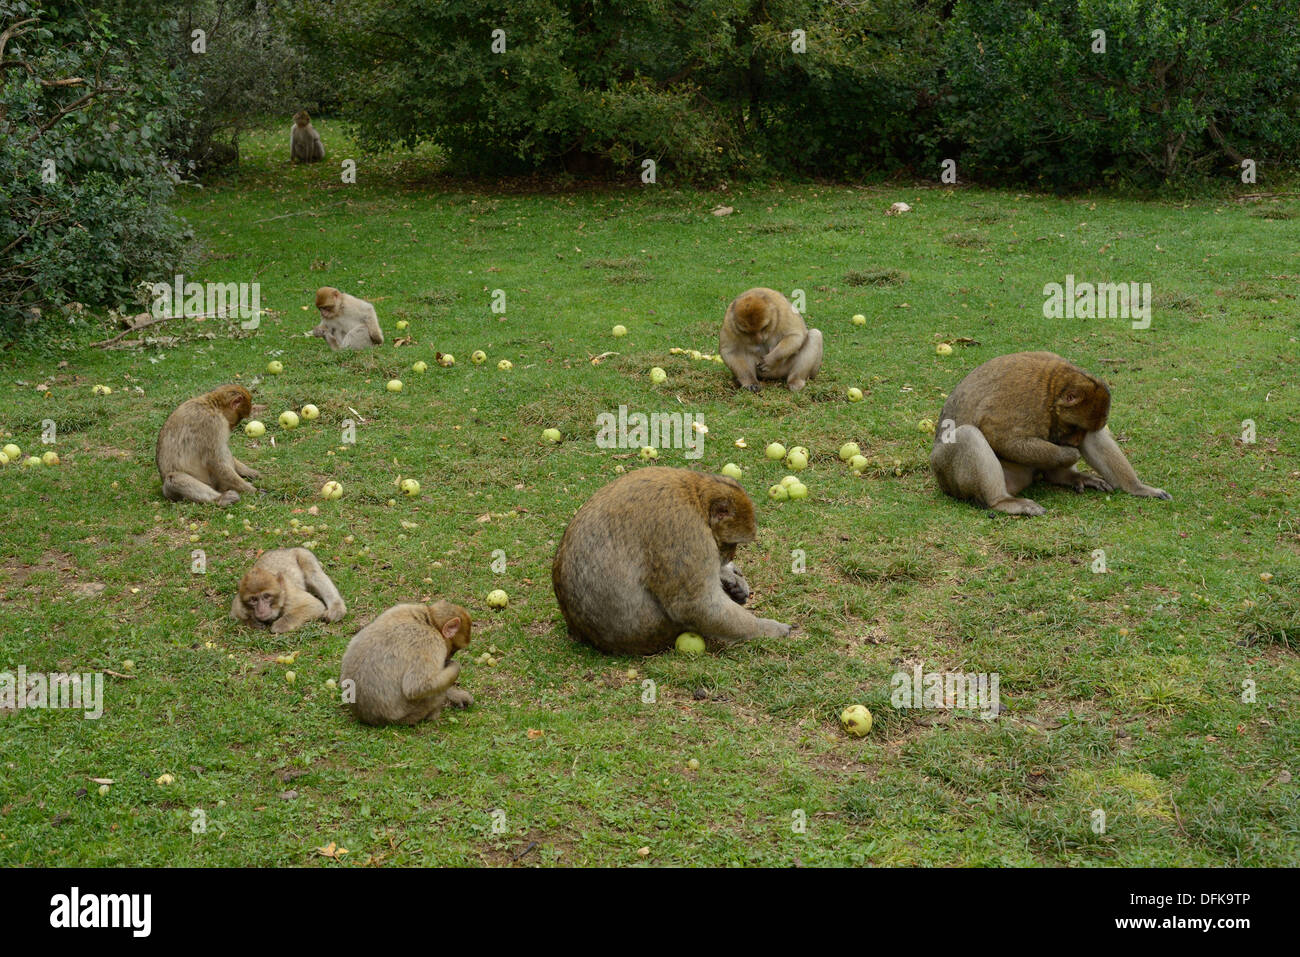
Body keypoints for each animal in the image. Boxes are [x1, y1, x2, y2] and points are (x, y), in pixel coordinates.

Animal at [340, 601, 473, 726]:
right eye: (454, 650)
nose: (448, 657)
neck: (430, 622)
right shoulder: (431, 642)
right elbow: (415, 687)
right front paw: (455, 667)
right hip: (410, 714)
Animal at [551, 467, 793, 655]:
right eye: (731, 543)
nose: (729, 556)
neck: (696, 495)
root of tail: (579, 631)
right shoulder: (684, 528)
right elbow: (694, 604)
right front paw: (767, 629)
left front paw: (730, 575)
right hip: (657, 629)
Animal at [929, 351, 1171, 516]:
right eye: (1074, 427)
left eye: (1082, 430)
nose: (1075, 441)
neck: (1052, 389)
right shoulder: (1024, 400)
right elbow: (1000, 437)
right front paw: (1069, 455)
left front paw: (1138, 488)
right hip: (949, 475)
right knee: (967, 434)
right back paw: (1000, 501)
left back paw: (1067, 477)